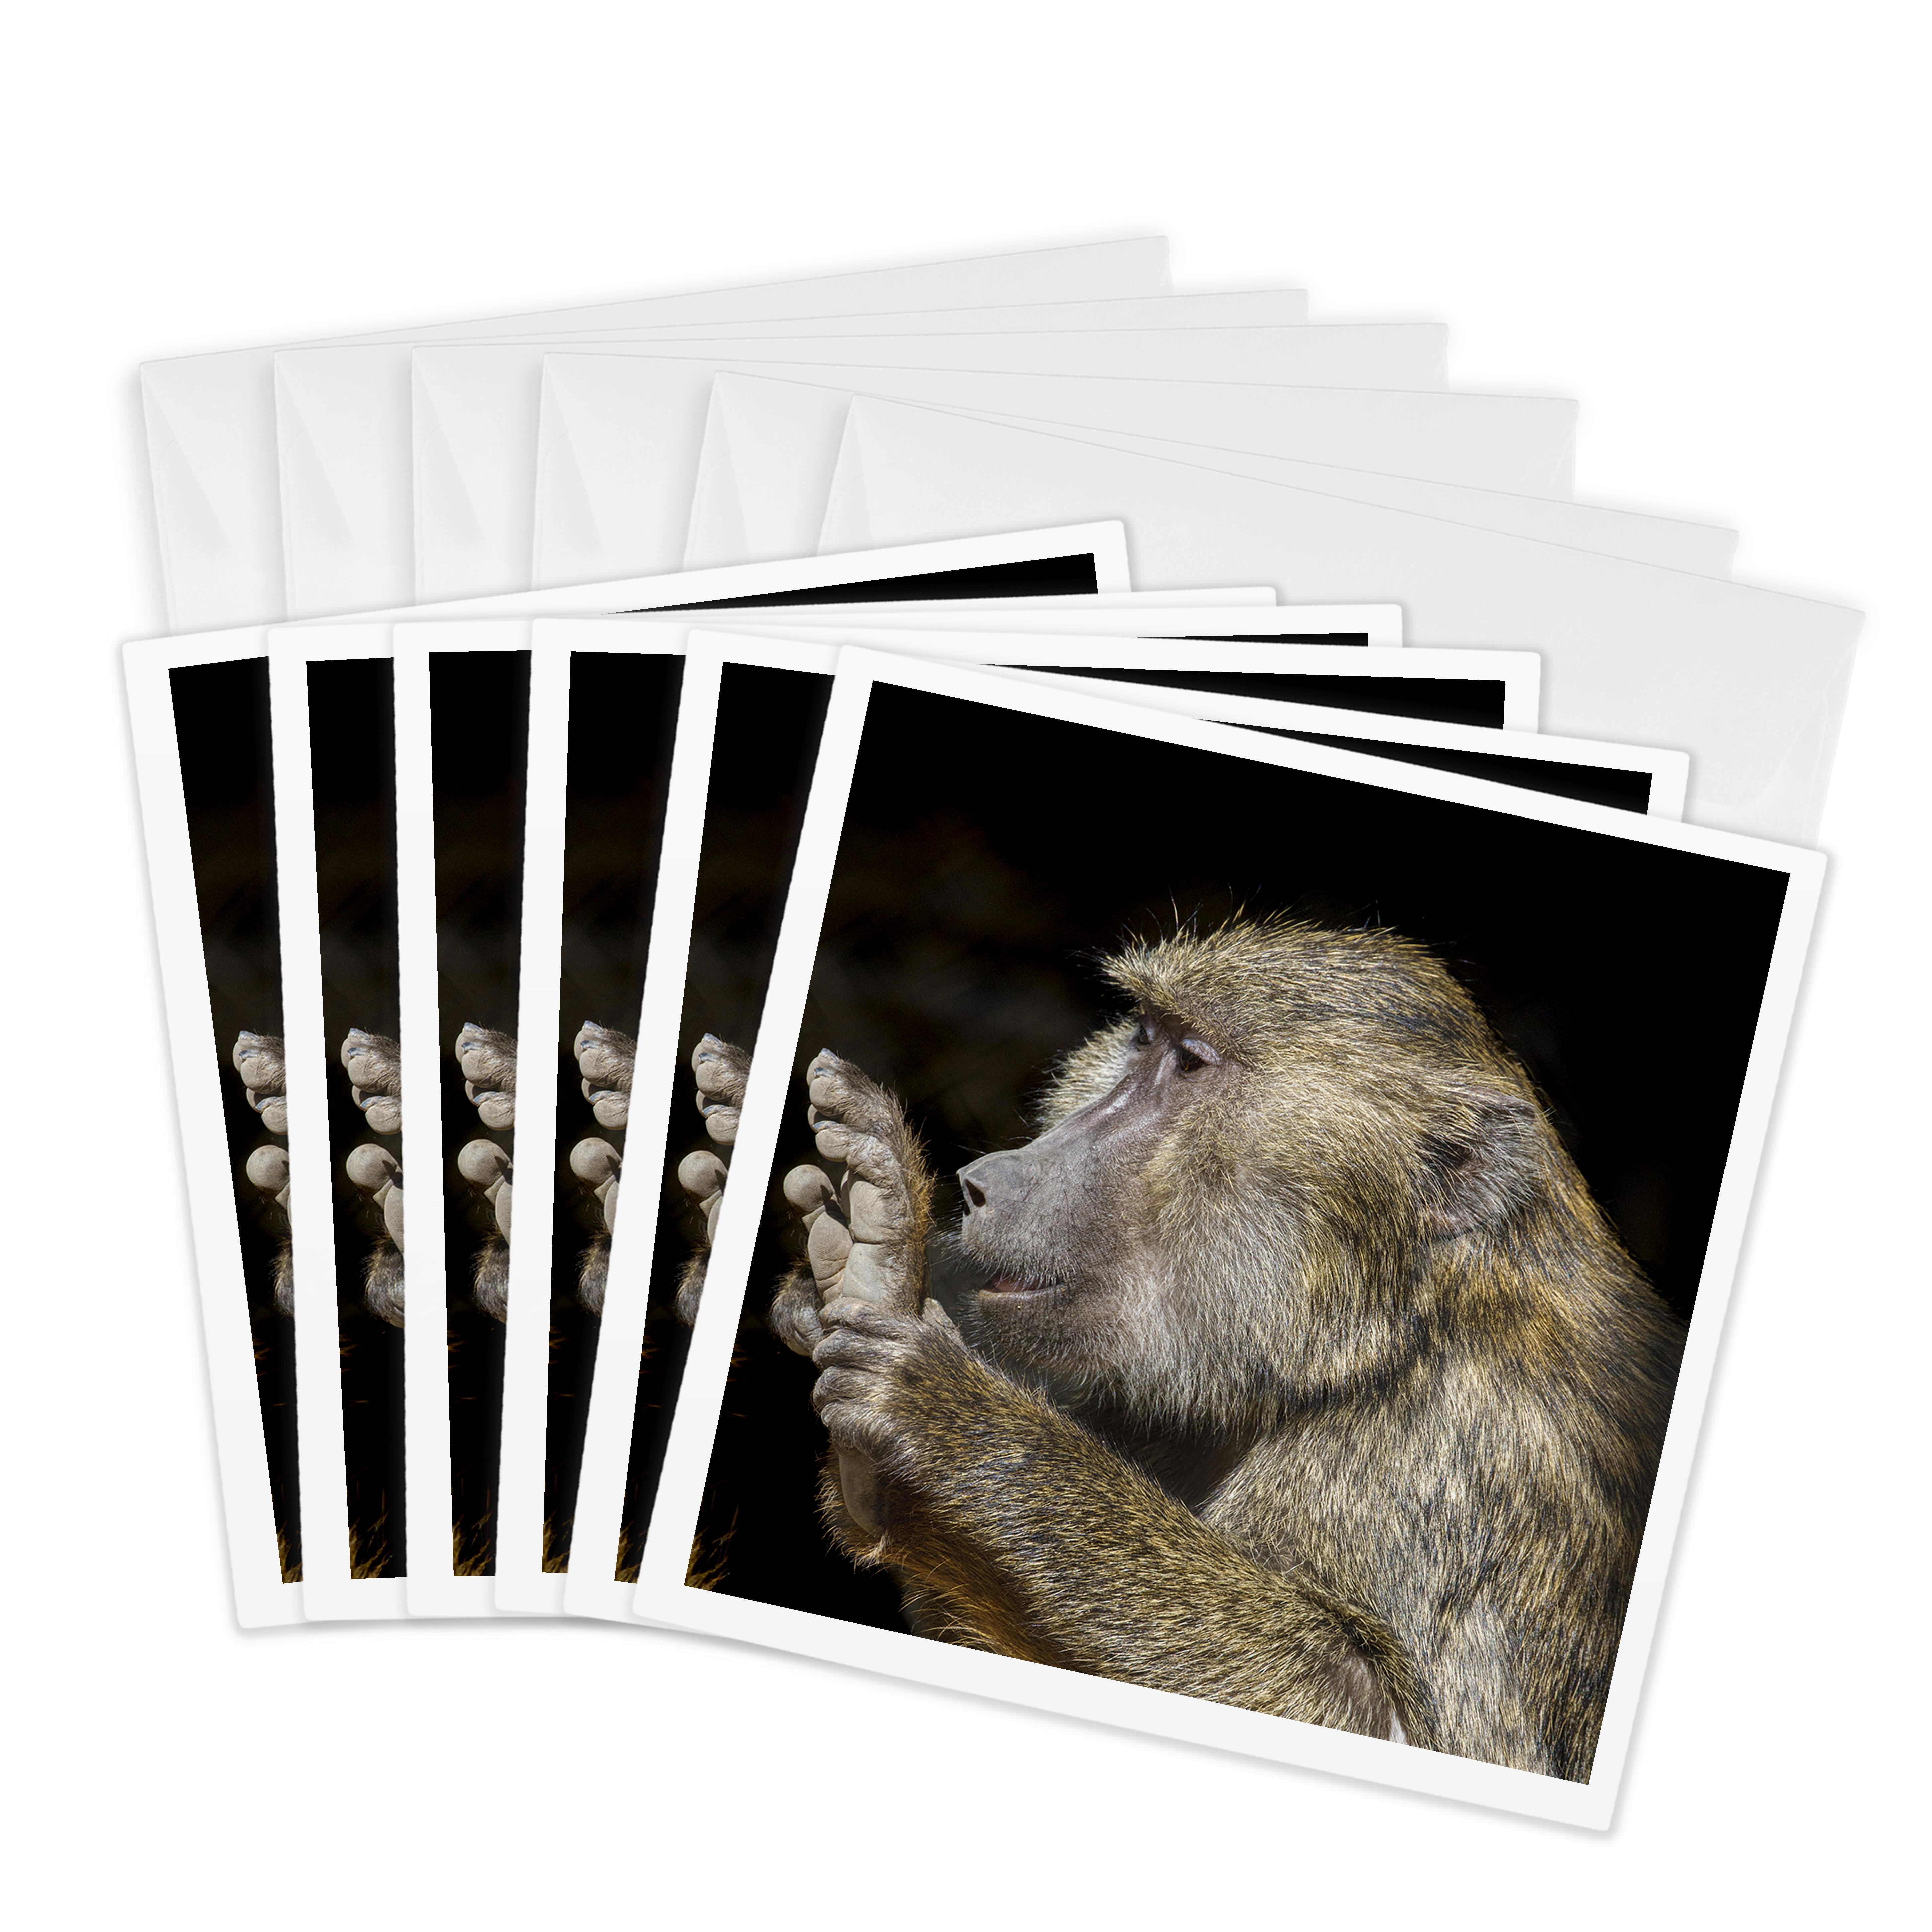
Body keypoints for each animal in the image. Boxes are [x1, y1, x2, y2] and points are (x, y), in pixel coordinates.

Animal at [685, 918, 1686, 1781]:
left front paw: (955, 1415)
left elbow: (1377, 1713)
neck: (1387, 1330)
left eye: (1191, 1064)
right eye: (1141, 1039)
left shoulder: (1458, 1459)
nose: (984, 1184)